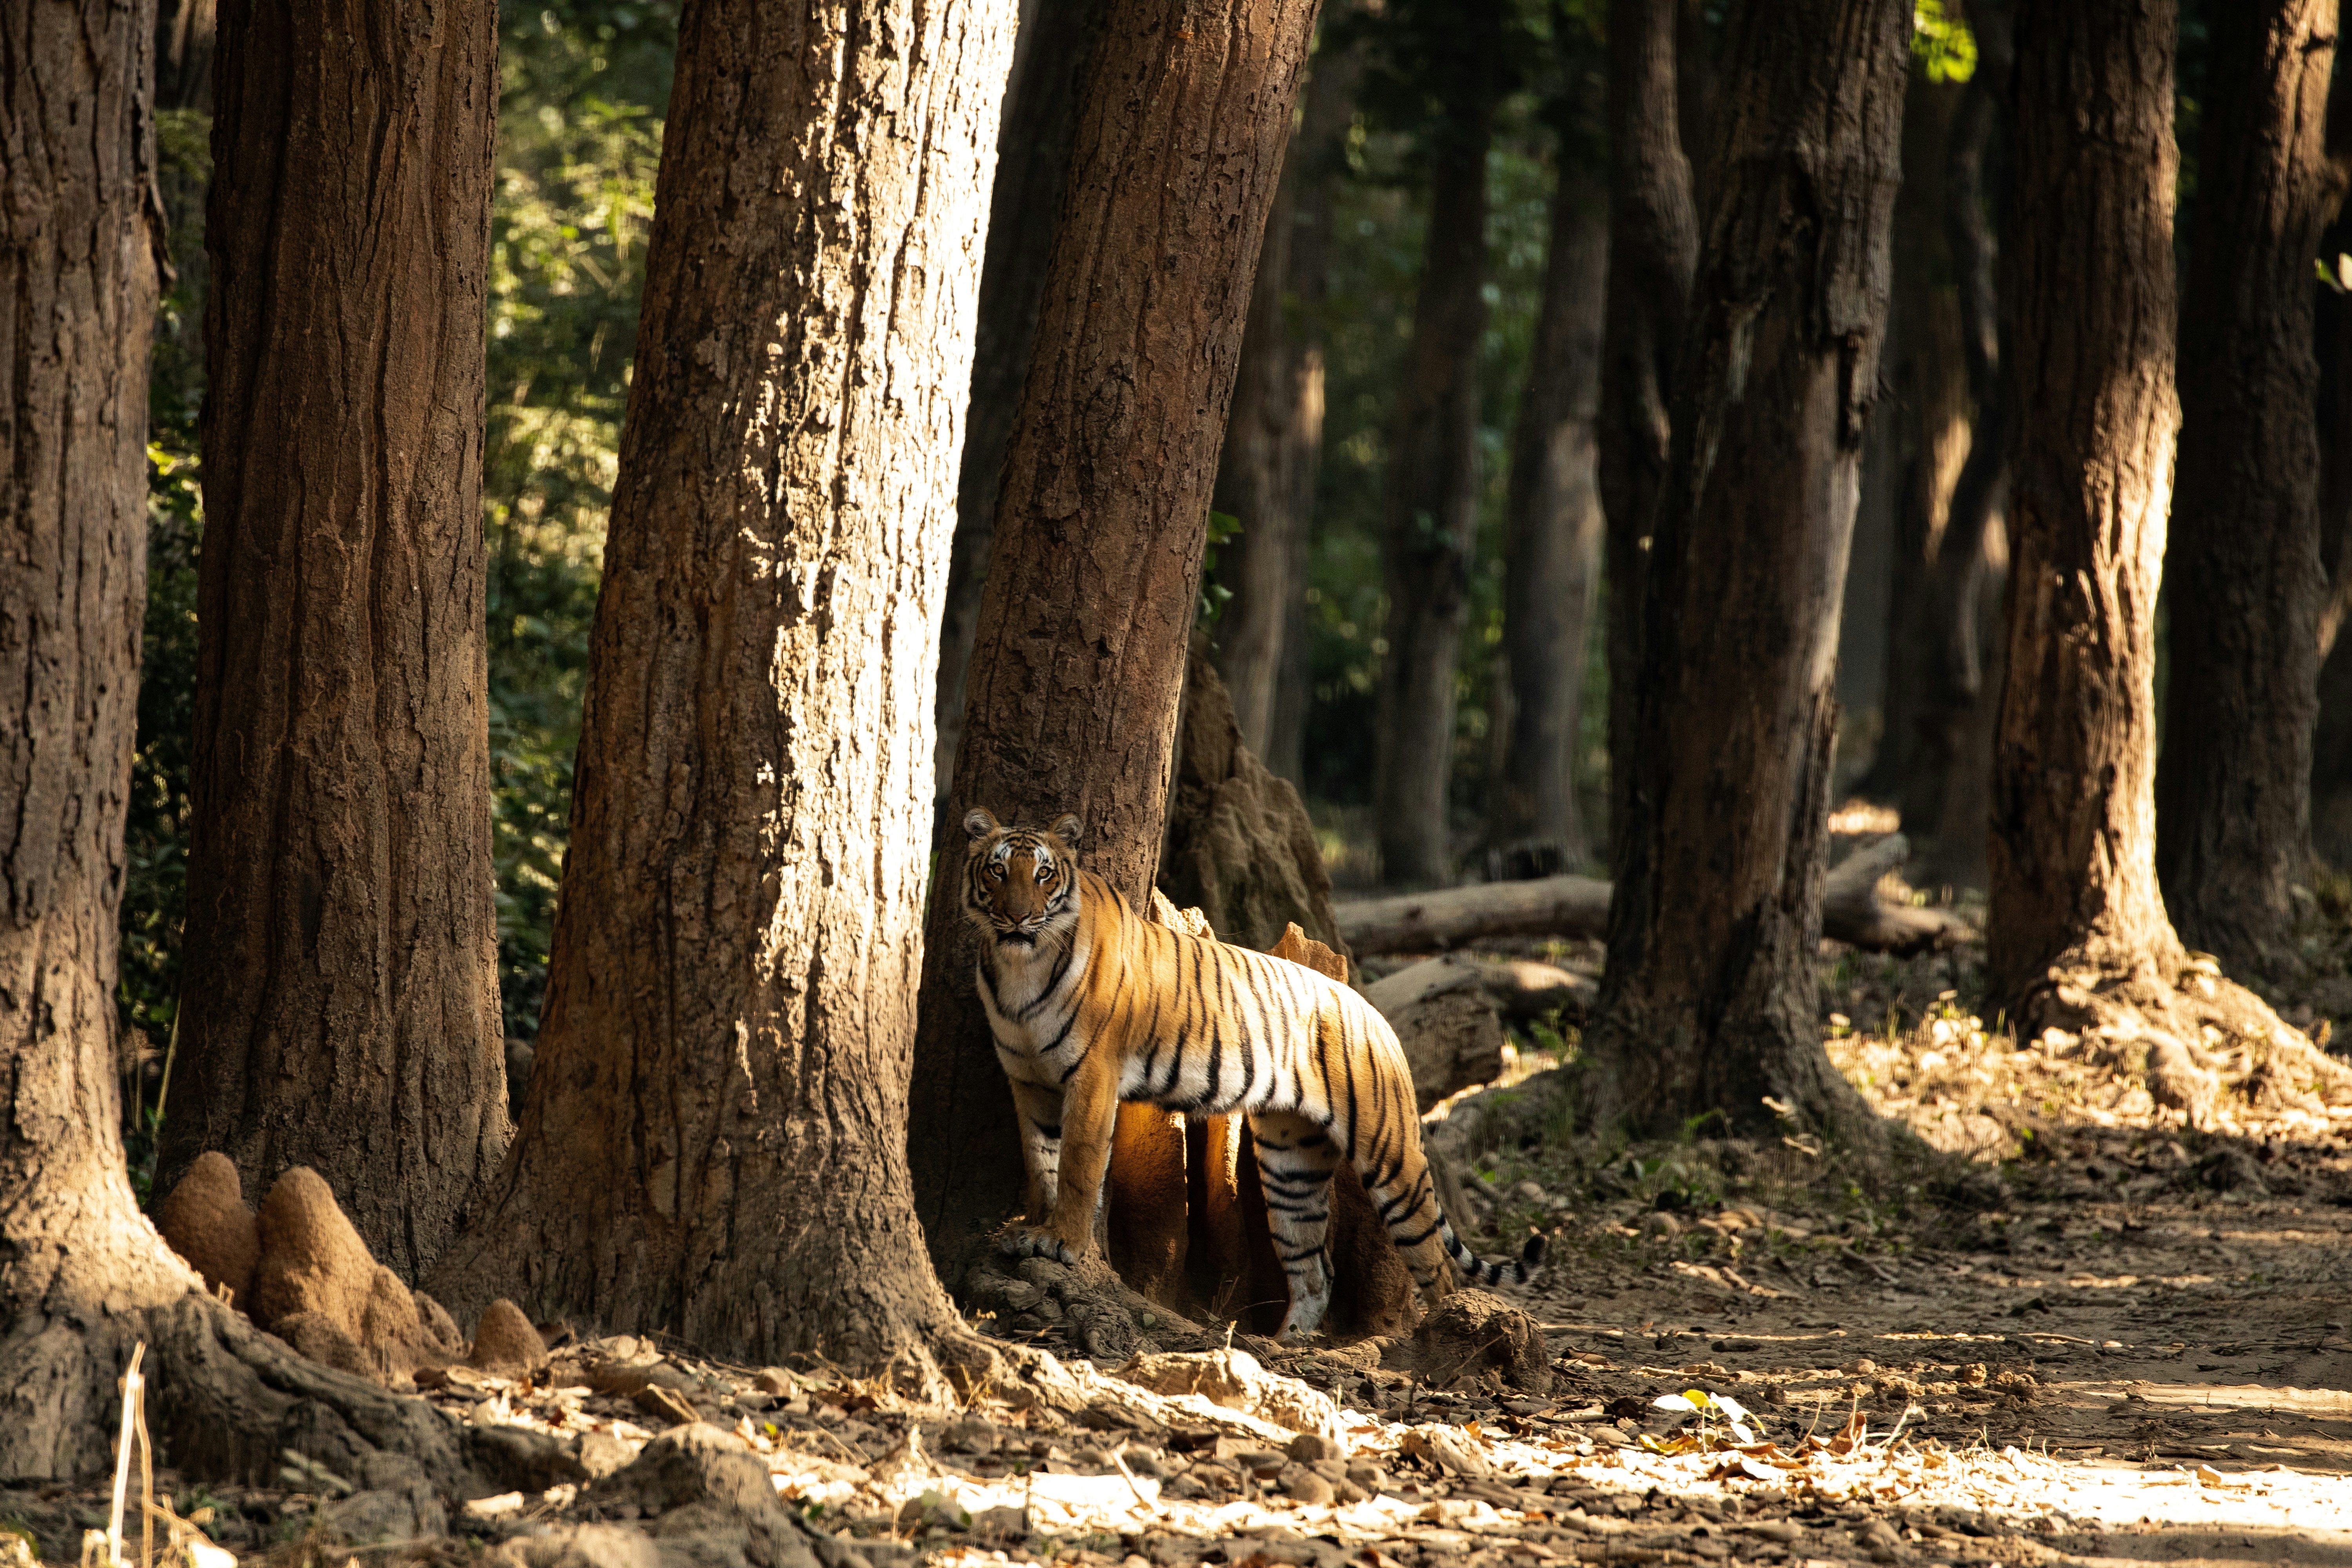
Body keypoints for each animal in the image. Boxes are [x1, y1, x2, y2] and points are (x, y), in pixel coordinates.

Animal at [959, 806, 1544, 1341]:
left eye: (1044, 874)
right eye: (998, 871)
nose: (1018, 917)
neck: (1020, 966)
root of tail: (1375, 1012)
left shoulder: (1092, 1077)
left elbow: (1078, 1167)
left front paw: (1064, 1242)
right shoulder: (1028, 1080)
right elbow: (1041, 1161)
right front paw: (1032, 1228)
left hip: (1390, 1156)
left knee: (1438, 1267)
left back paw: (1446, 1338)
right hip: (1292, 1164)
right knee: (1317, 1269)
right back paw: (1288, 1347)